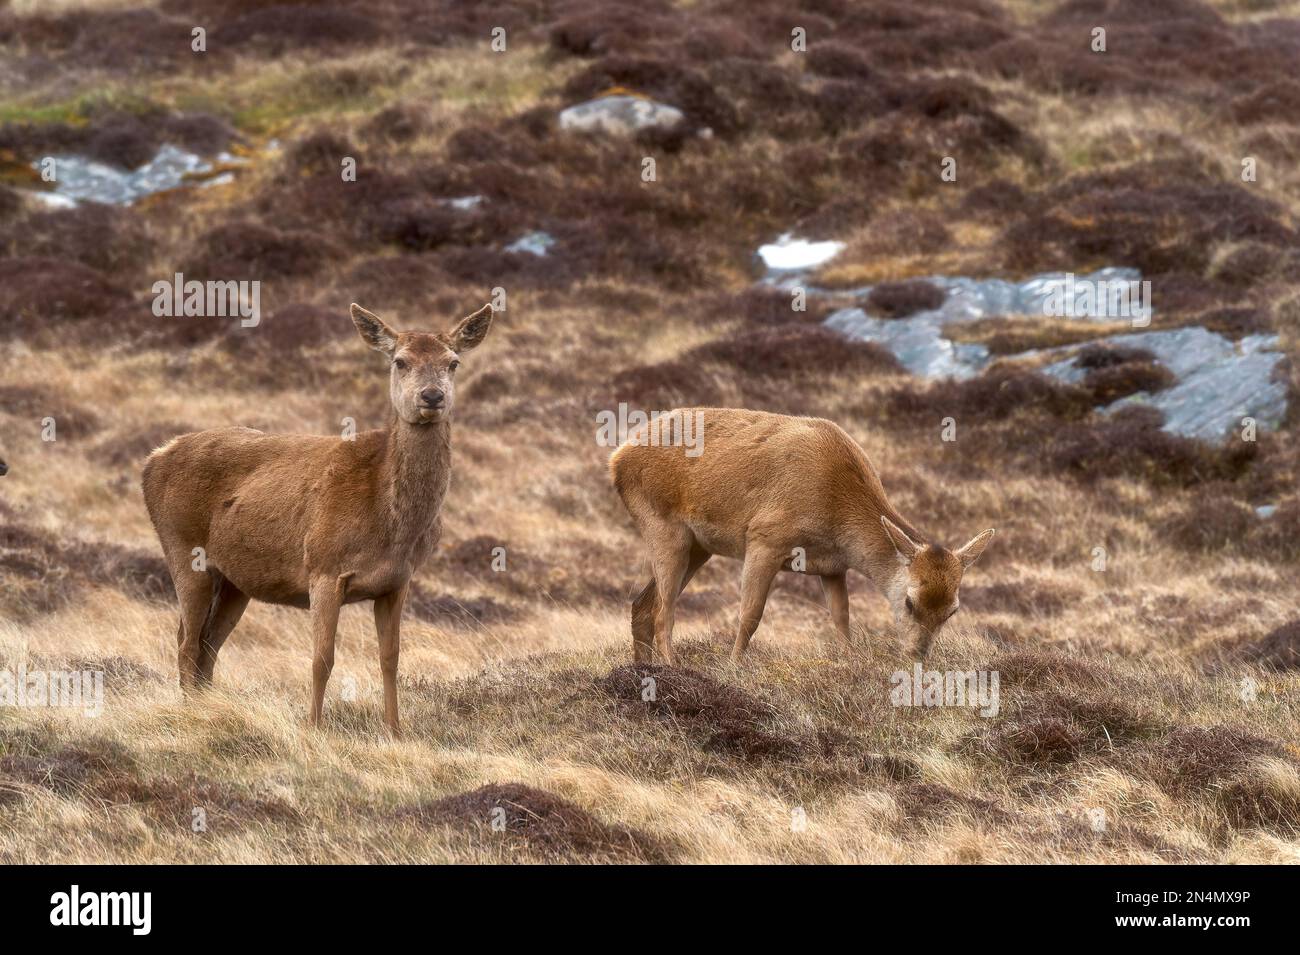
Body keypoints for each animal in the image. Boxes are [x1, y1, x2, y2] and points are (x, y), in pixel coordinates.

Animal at [142, 302, 494, 734]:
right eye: (400, 361)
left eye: (453, 362)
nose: (432, 396)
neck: (393, 526)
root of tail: (152, 459)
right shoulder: (324, 567)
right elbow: (322, 659)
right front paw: (313, 727)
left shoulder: (398, 581)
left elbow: (390, 658)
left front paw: (395, 730)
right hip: (181, 547)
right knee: (186, 640)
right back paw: (191, 713)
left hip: (235, 580)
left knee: (208, 644)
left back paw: (208, 707)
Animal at [610, 407, 994, 666]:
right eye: (910, 602)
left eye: (952, 611)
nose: (917, 656)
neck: (835, 514)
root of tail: (616, 459)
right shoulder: (765, 537)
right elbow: (750, 614)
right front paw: (734, 666)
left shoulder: (833, 567)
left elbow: (841, 618)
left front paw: (851, 660)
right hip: (663, 525)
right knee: (663, 611)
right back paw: (675, 668)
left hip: (699, 546)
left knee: (643, 605)